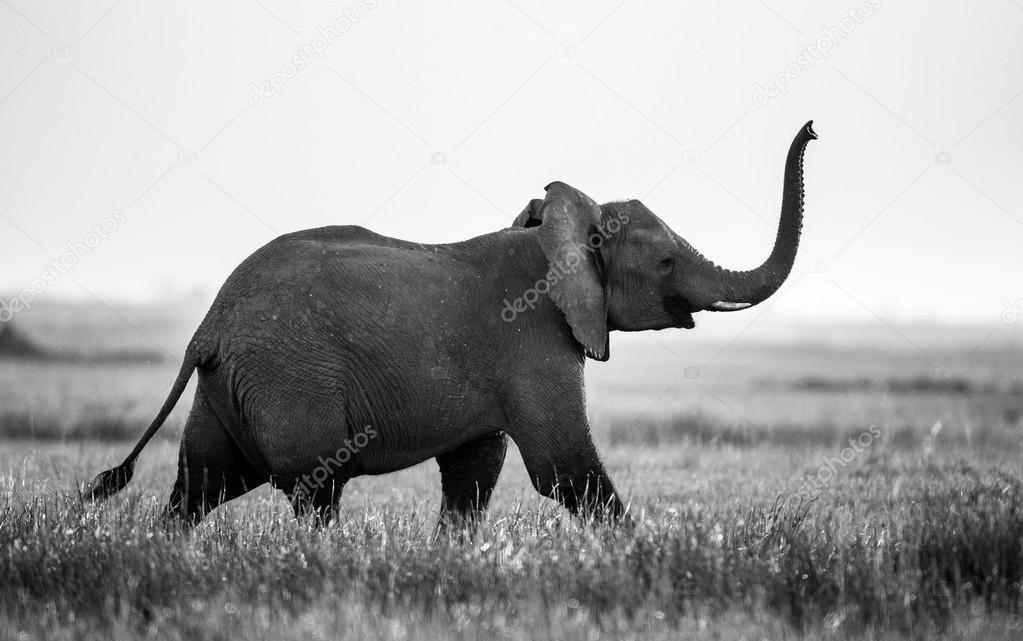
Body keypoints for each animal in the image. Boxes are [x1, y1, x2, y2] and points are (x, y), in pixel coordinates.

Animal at [86, 121, 816, 528]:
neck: (561, 229)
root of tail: (207, 326)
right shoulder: (537, 339)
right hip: (288, 375)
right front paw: (647, 560)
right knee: (314, 486)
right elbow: (565, 469)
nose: (812, 128)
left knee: (199, 486)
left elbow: (474, 471)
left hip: (231, 387)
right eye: (666, 261)